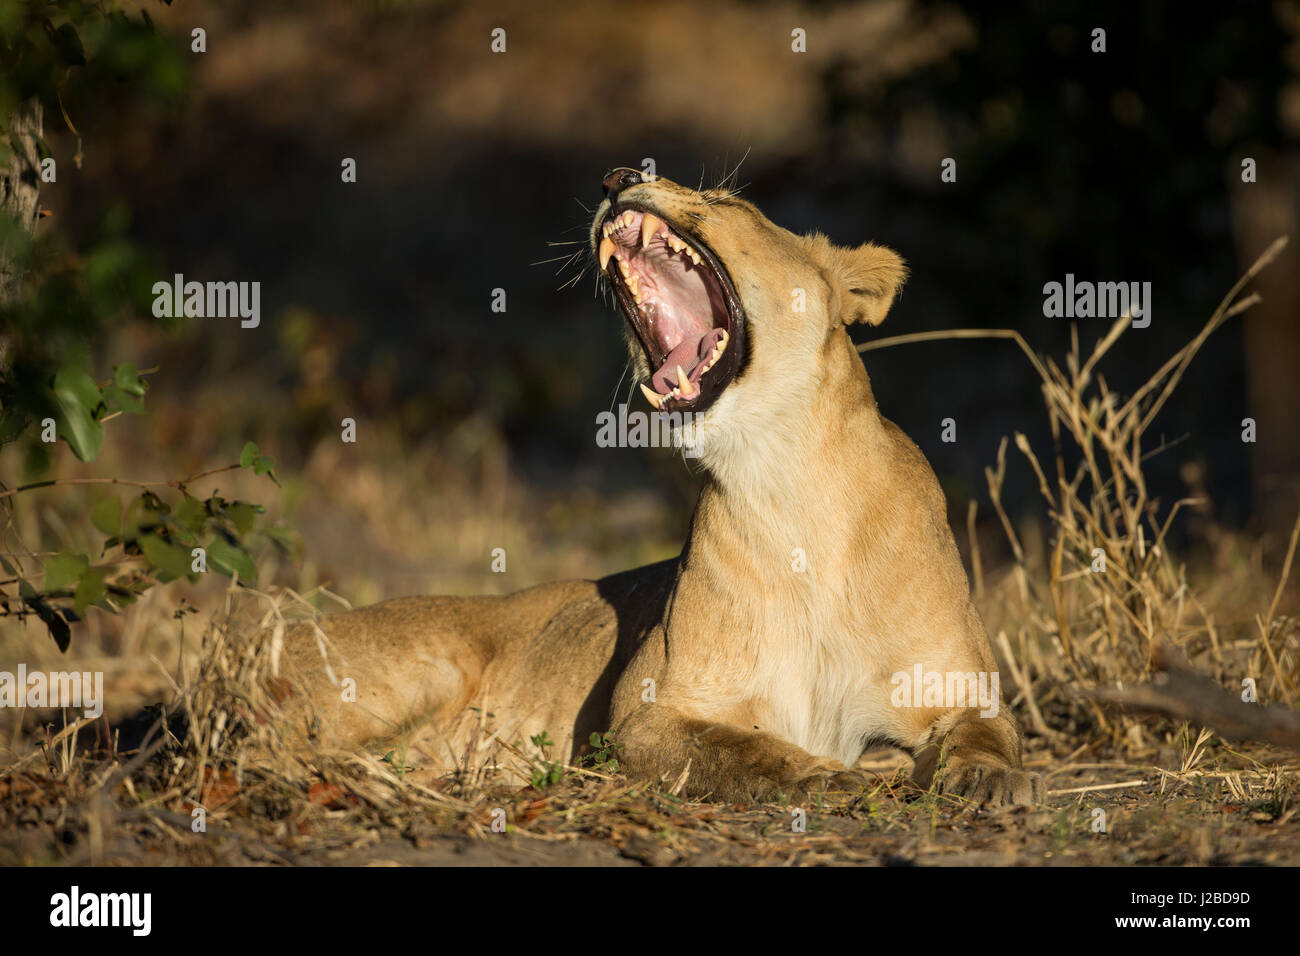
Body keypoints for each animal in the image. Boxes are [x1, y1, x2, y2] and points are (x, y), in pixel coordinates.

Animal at [277, 168, 1044, 806]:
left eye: (729, 200)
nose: (617, 177)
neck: (784, 479)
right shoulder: (643, 714)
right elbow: (740, 750)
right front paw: (825, 779)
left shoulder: (957, 685)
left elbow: (989, 734)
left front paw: (989, 781)